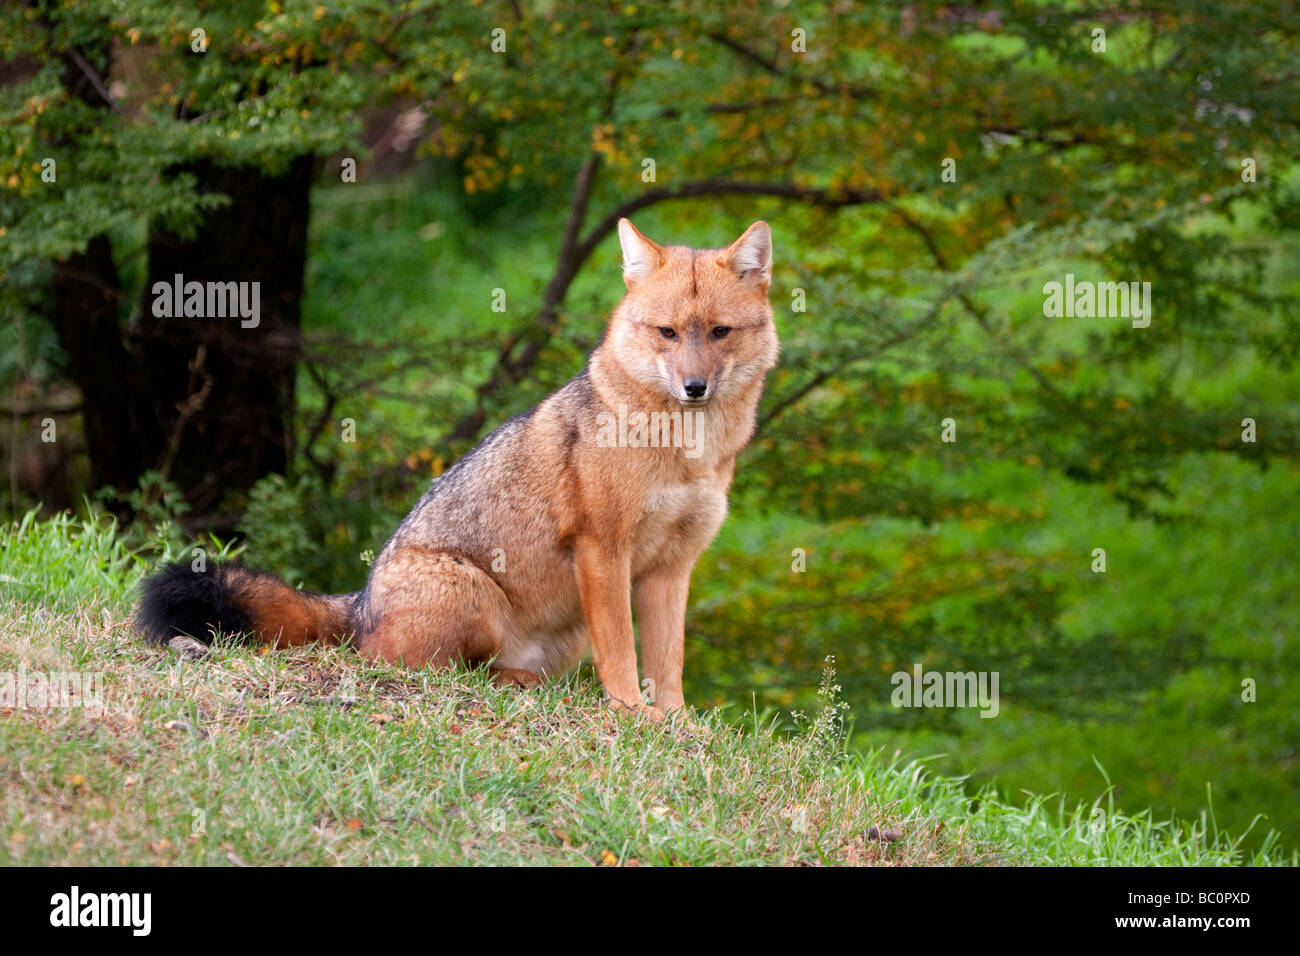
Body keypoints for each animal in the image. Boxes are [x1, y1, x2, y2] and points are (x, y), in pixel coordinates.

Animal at [136, 218, 779, 719]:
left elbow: (668, 664)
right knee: (426, 669)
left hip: (563, 630)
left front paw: (675, 722)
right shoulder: (603, 549)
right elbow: (622, 652)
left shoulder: (672, 567)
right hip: (475, 594)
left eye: (718, 332)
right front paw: (629, 713)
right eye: (668, 333)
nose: (694, 387)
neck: (688, 453)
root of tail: (358, 604)